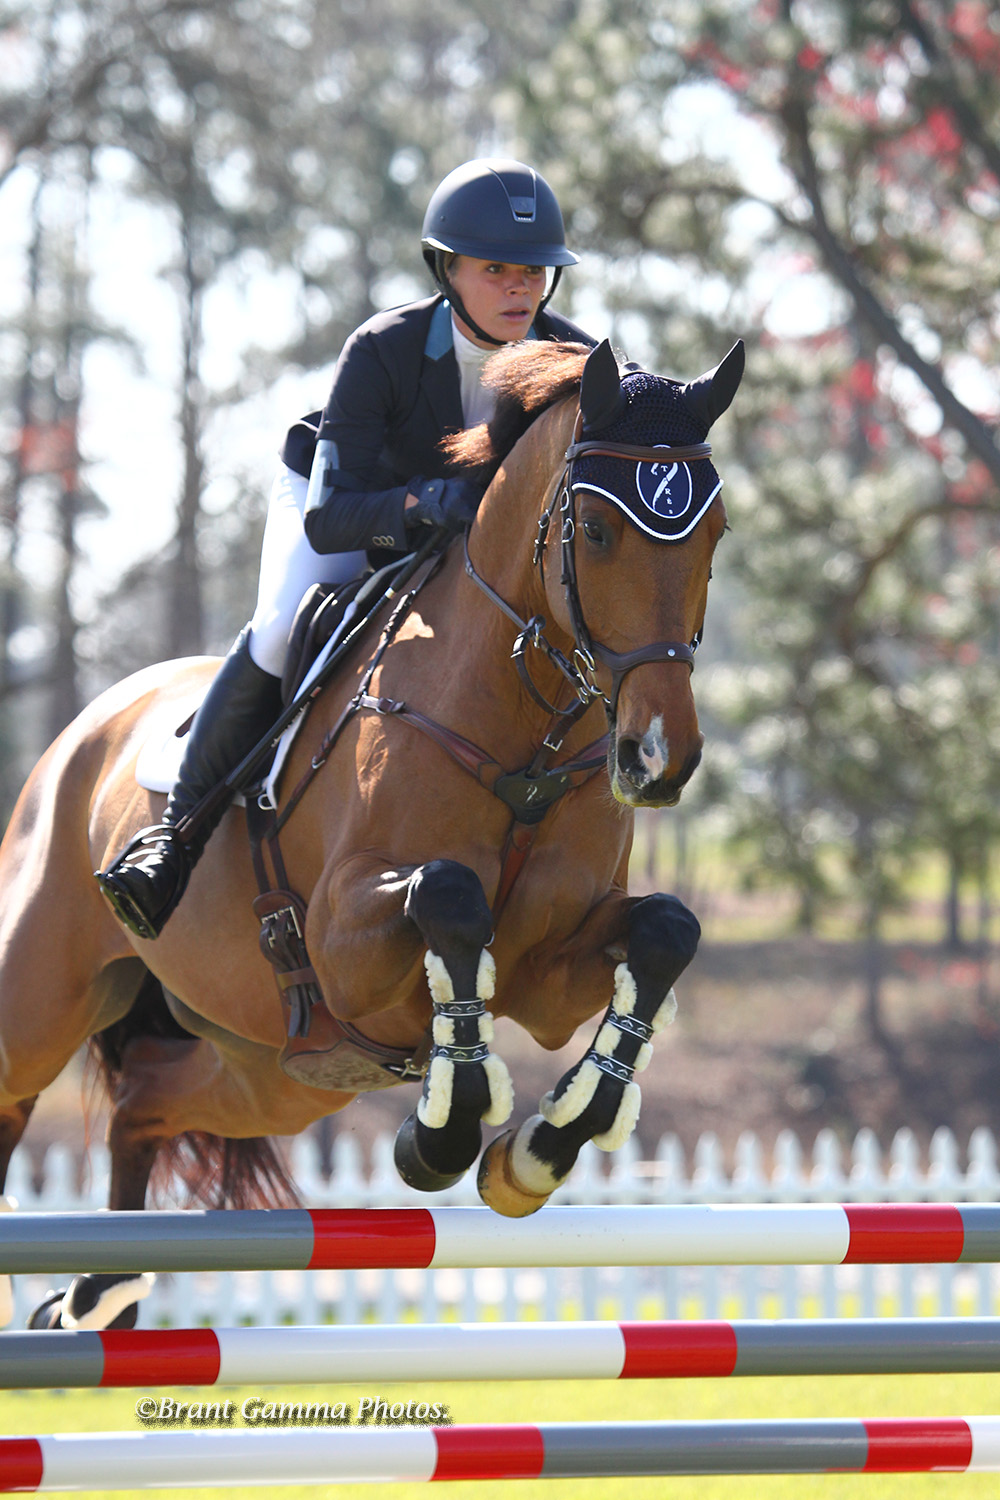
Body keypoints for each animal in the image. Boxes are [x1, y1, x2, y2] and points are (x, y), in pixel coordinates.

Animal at [0, 335, 742, 1330]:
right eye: (594, 532)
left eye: (715, 533)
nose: (658, 755)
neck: (525, 733)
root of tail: (82, 730)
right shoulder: (341, 936)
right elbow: (448, 895)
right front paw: (441, 1133)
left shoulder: (550, 972)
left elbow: (666, 930)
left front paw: (537, 1149)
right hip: (42, 1004)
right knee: (24, 1095)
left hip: (275, 1071)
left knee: (146, 1105)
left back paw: (96, 1296)